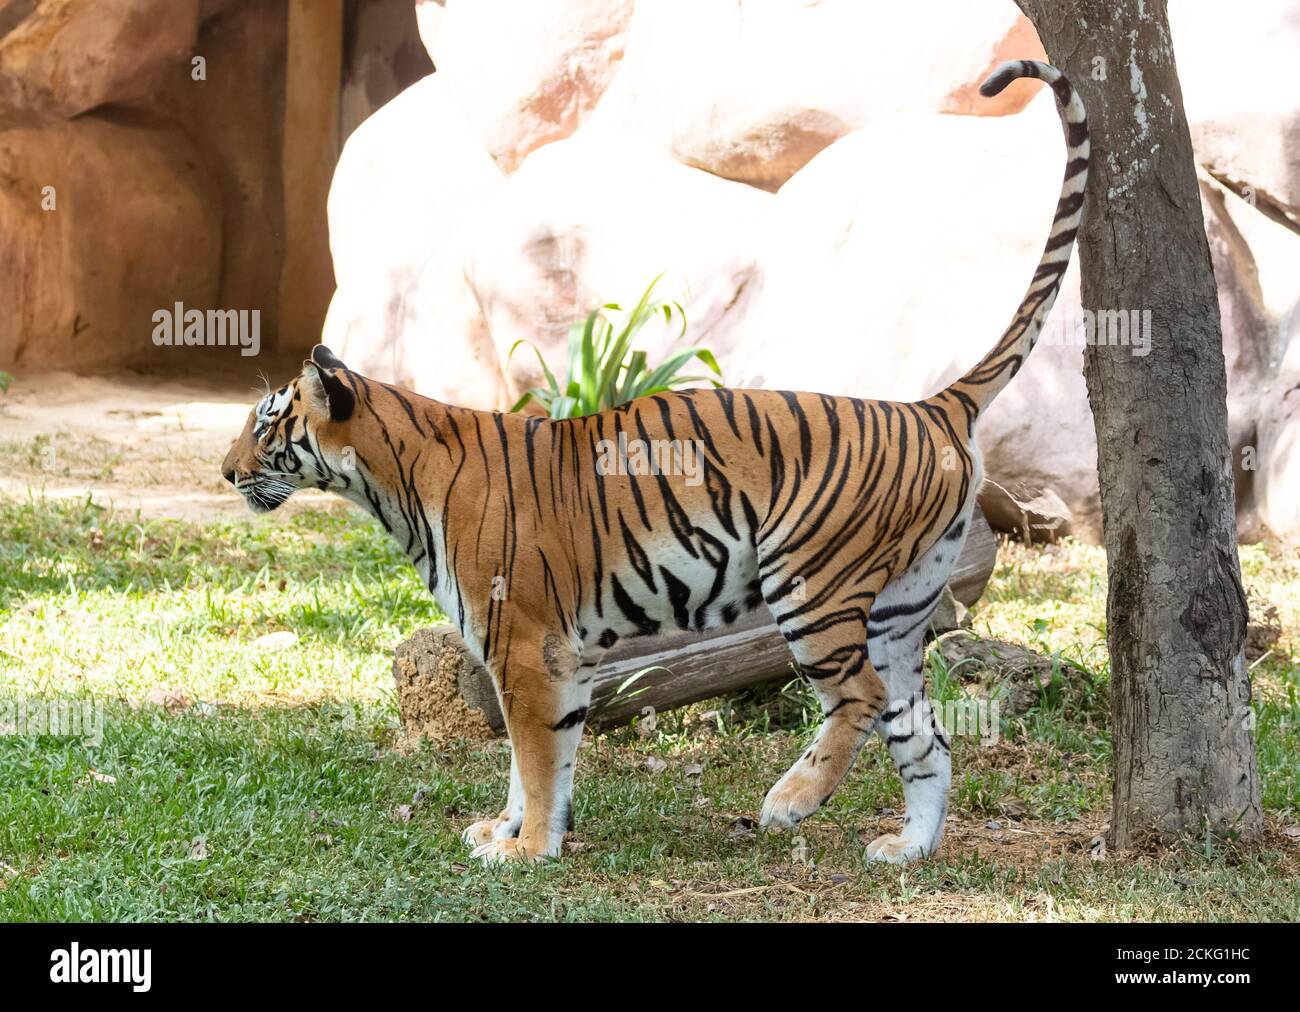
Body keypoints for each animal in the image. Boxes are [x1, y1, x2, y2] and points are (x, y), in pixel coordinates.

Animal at [222, 61, 1088, 863]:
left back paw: (789, 801)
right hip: (899, 610)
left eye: (266, 421)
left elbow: (533, 754)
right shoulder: (565, 657)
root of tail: (930, 405)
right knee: (924, 733)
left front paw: (525, 850)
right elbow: (544, 758)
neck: (390, 479)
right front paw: (514, 830)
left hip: (814, 584)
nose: (227, 472)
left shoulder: (523, 645)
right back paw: (907, 848)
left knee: (863, 699)